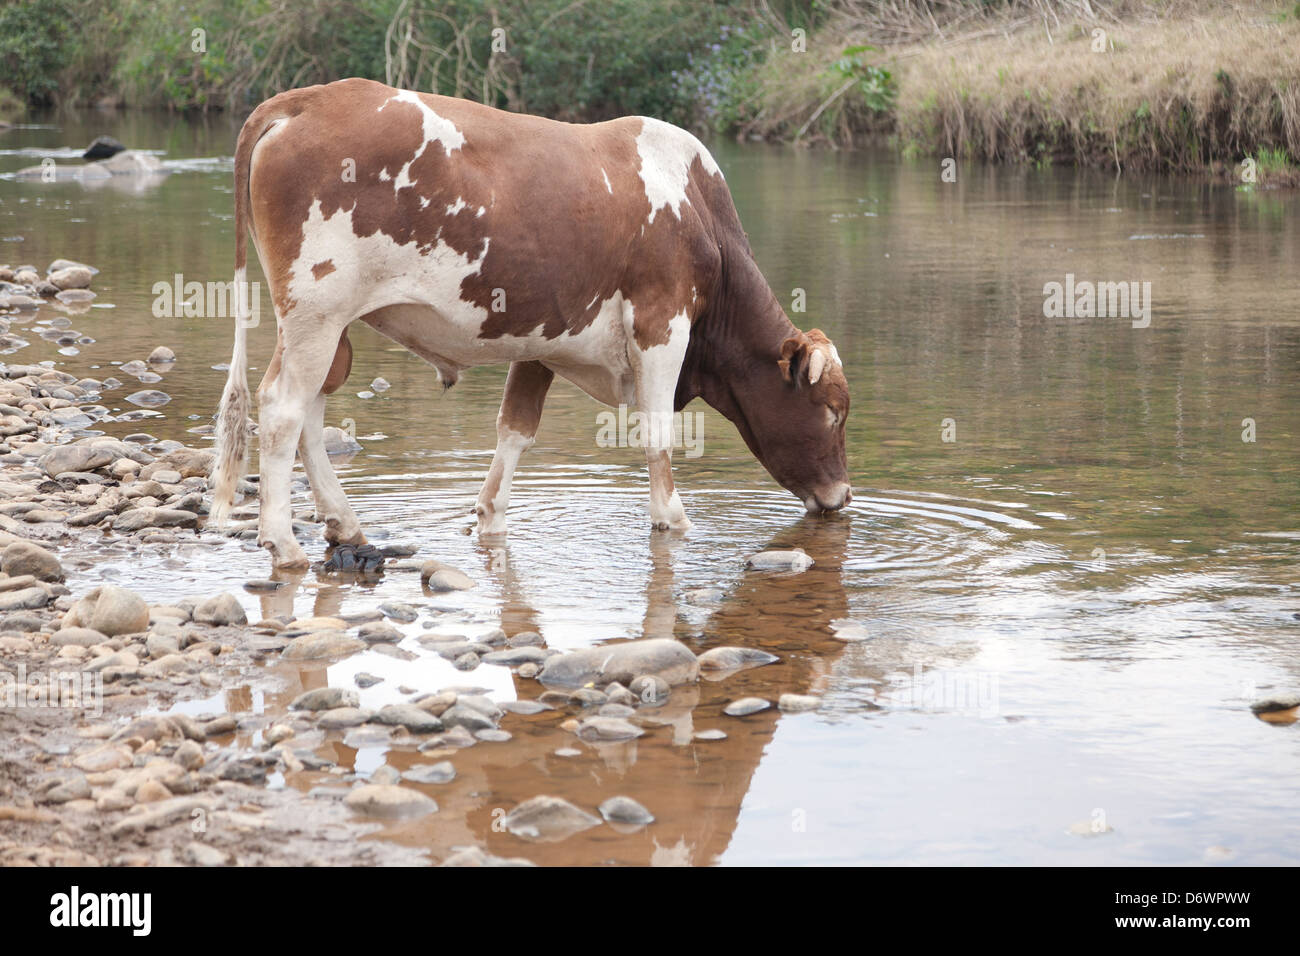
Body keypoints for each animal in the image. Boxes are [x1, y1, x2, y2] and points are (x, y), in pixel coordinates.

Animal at [208, 78, 851, 569]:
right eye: (831, 411)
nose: (843, 496)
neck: (697, 212)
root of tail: (308, 98)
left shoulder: (543, 341)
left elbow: (515, 429)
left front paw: (489, 515)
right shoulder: (662, 325)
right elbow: (658, 434)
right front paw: (672, 518)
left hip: (326, 324)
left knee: (310, 411)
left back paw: (344, 524)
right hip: (316, 312)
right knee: (283, 409)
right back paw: (284, 542)